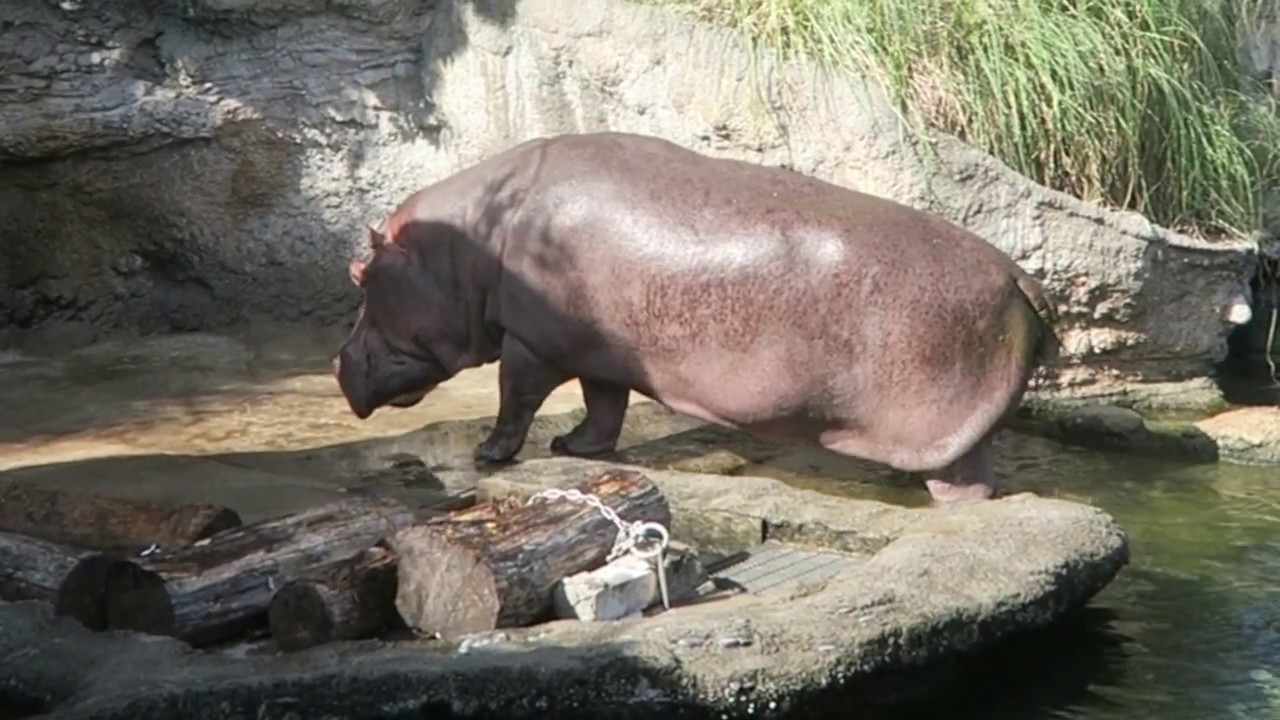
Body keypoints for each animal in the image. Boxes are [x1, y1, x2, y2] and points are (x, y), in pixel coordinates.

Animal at [335, 132, 1059, 503]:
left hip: (942, 423)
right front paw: (572, 448)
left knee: (967, 479)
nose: (339, 362)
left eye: (359, 275)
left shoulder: (532, 342)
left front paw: (491, 454)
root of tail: (1018, 272)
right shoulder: (597, 349)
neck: (467, 243)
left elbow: (515, 399)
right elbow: (603, 407)